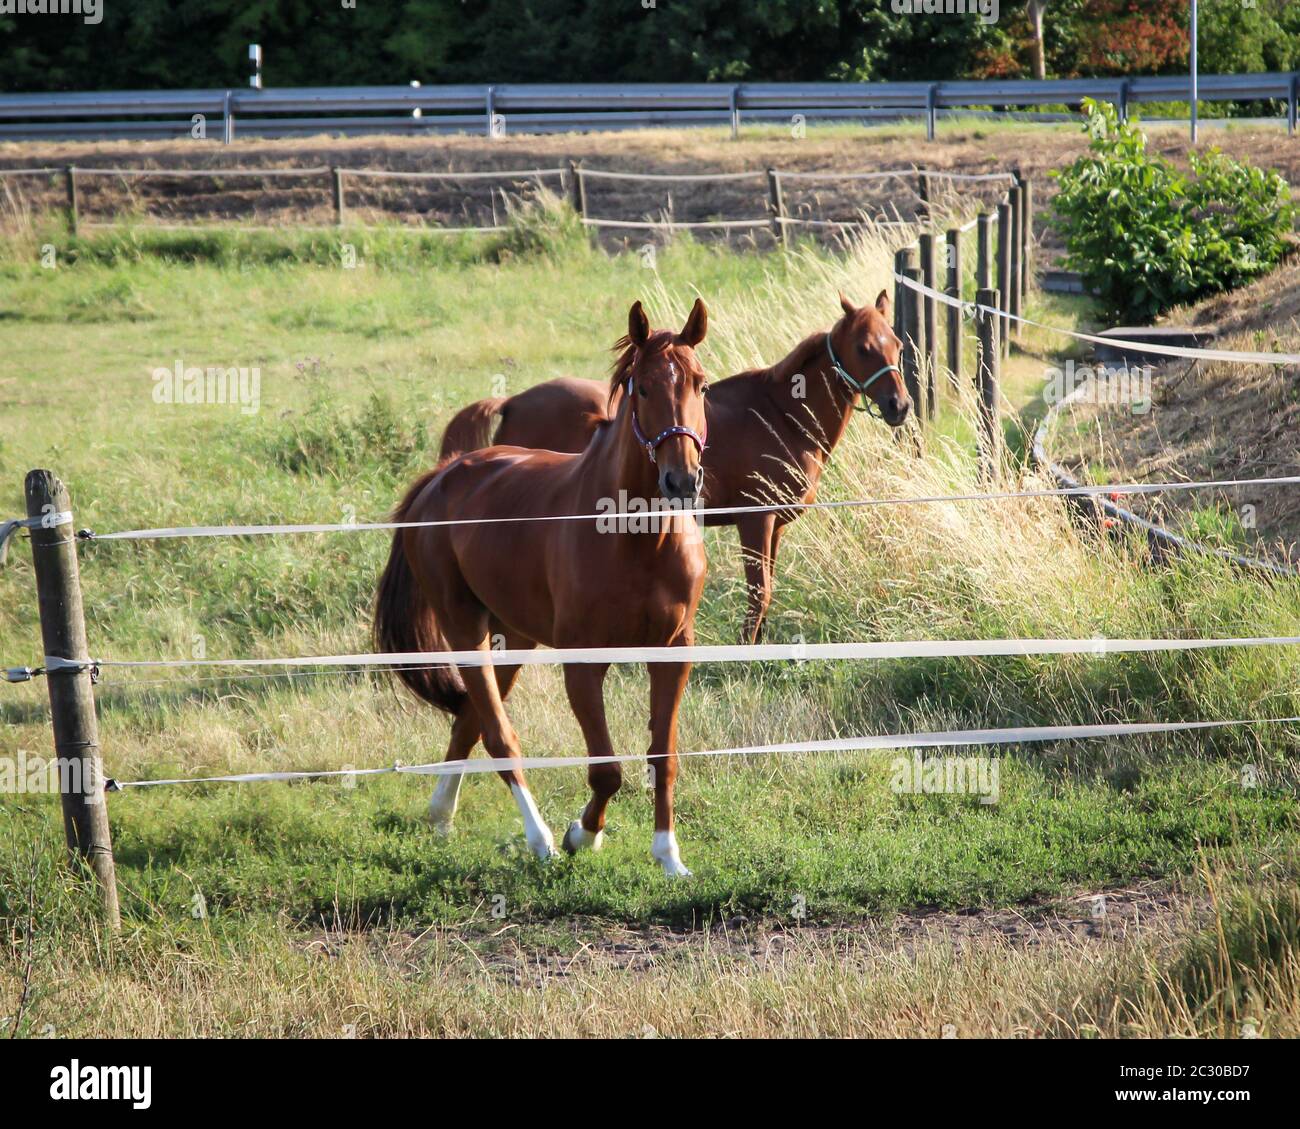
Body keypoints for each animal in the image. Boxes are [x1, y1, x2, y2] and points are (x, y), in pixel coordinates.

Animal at [376, 300, 710, 877]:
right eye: (642, 388)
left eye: (701, 383)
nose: (681, 481)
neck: (638, 539)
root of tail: (441, 477)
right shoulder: (582, 661)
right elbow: (606, 769)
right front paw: (583, 834)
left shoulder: (672, 652)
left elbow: (661, 758)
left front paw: (669, 857)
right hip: (466, 627)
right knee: (497, 734)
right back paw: (541, 840)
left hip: (513, 636)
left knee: (469, 720)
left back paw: (441, 817)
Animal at [438, 290, 909, 643]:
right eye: (864, 348)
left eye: (898, 345)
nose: (899, 405)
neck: (779, 414)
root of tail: (513, 401)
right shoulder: (755, 520)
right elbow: (759, 592)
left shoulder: (773, 526)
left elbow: (767, 591)